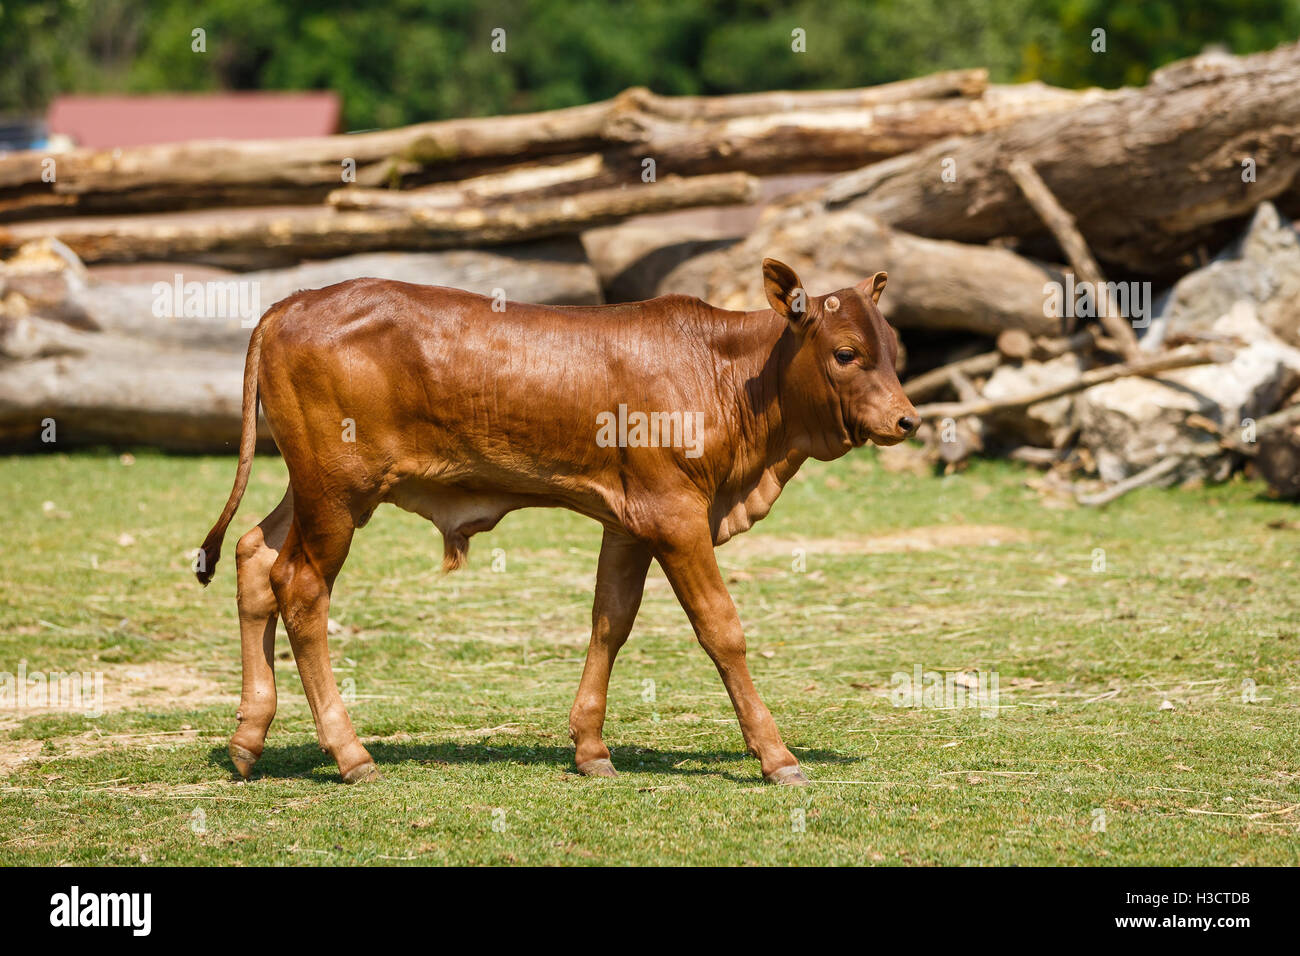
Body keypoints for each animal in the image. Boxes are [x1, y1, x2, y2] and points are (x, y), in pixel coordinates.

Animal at [196, 258, 919, 786]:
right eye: (846, 353)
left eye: (894, 348)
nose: (908, 420)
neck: (728, 377)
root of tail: (292, 303)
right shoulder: (676, 514)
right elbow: (722, 630)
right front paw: (776, 757)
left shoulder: (629, 522)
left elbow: (610, 622)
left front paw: (591, 748)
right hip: (337, 495)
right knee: (301, 588)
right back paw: (351, 755)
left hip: (313, 489)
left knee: (255, 553)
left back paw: (248, 738)